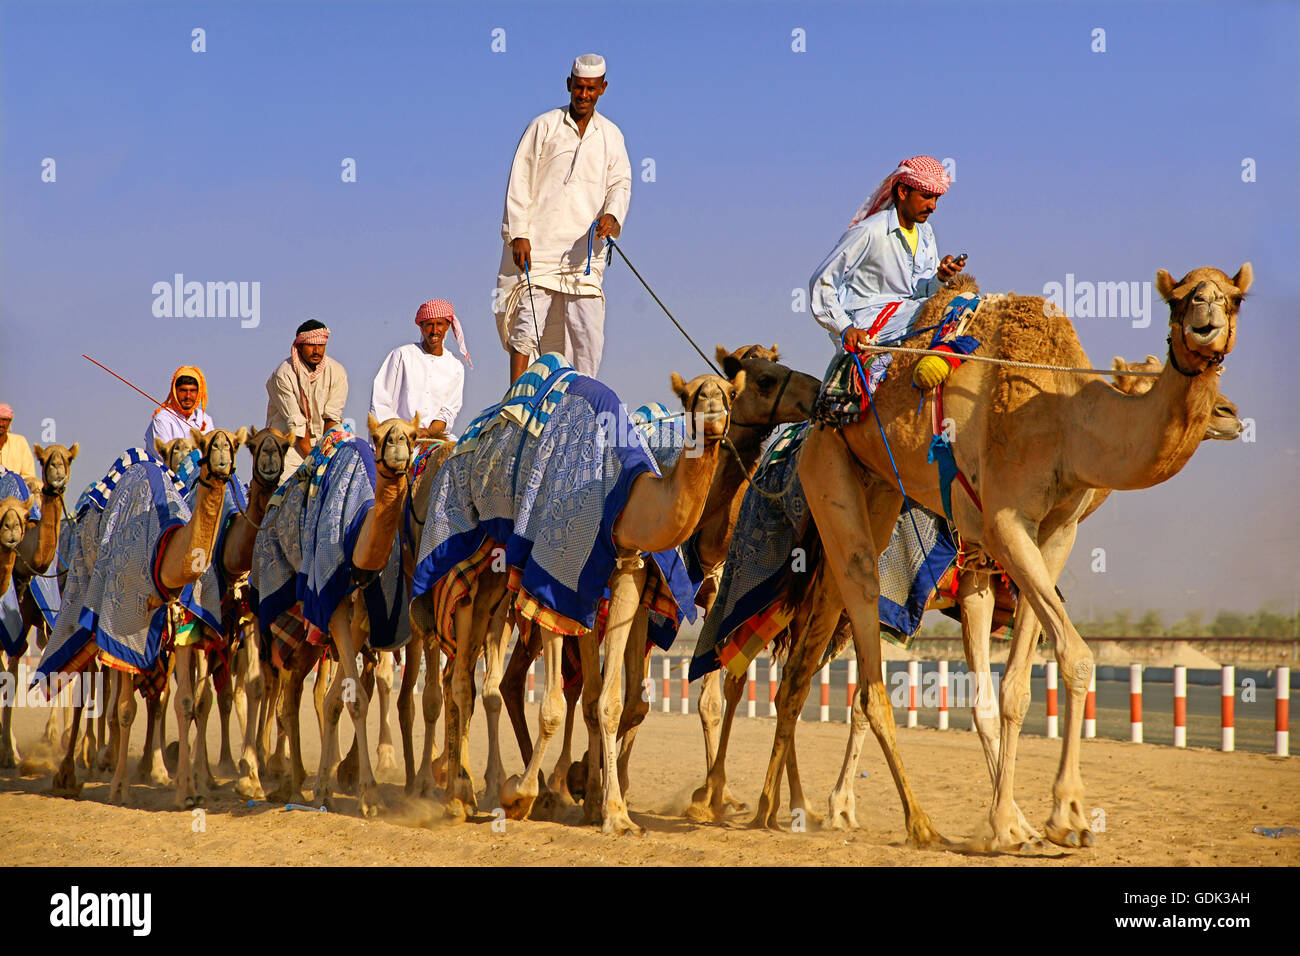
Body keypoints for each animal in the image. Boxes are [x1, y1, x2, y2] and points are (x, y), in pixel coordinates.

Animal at [779, 263, 1249, 851]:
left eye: (1235, 298)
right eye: (1182, 299)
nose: (1229, 411)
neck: (1064, 414)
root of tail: (815, 419)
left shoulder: (1051, 538)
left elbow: (1017, 686)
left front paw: (1035, 820)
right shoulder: (1003, 526)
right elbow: (1064, 658)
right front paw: (1042, 817)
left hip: (876, 492)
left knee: (803, 669)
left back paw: (777, 805)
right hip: (831, 471)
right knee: (860, 669)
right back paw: (882, 818)